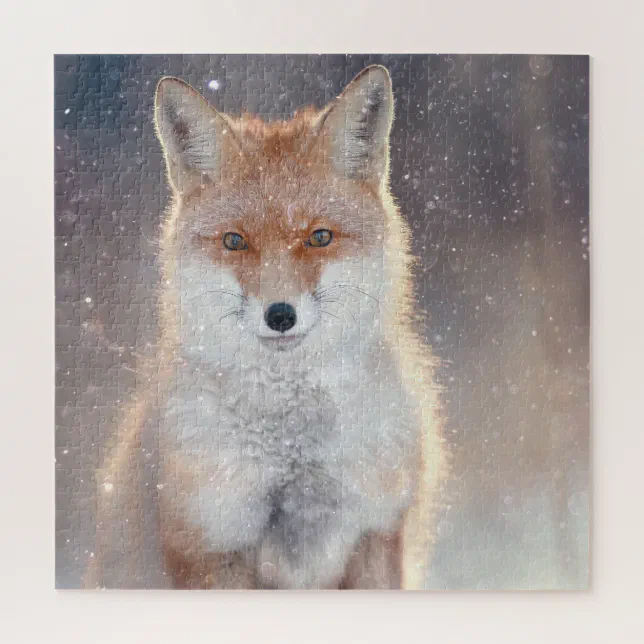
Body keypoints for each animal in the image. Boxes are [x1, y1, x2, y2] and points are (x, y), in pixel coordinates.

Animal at [85, 65, 446, 590]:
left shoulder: (375, 533)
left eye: (319, 237)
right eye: (235, 242)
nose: (280, 315)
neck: (293, 452)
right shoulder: (209, 541)